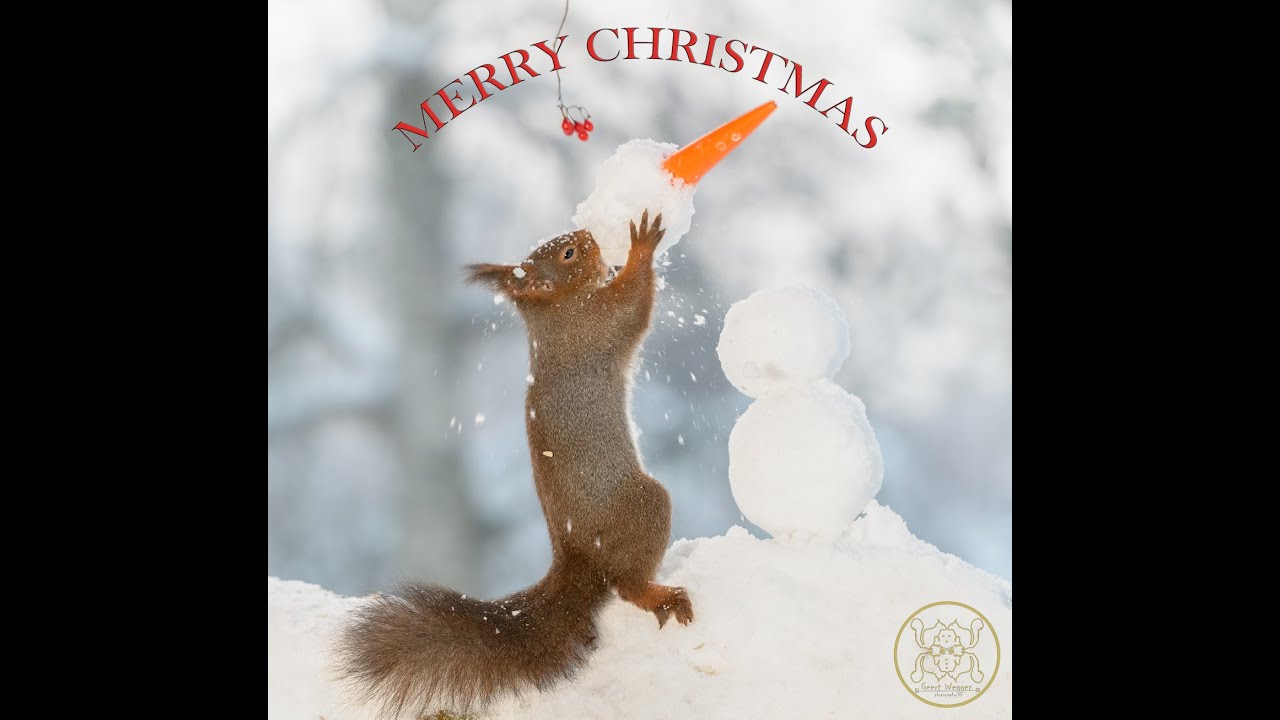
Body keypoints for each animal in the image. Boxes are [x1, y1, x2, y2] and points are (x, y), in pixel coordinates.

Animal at [339, 210, 693, 717]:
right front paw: (640, 246)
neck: (554, 310)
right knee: (627, 586)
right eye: (567, 253)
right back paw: (661, 595)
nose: (587, 232)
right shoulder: (596, 324)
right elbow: (633, 304)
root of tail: (577, 561)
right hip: (644, 506)